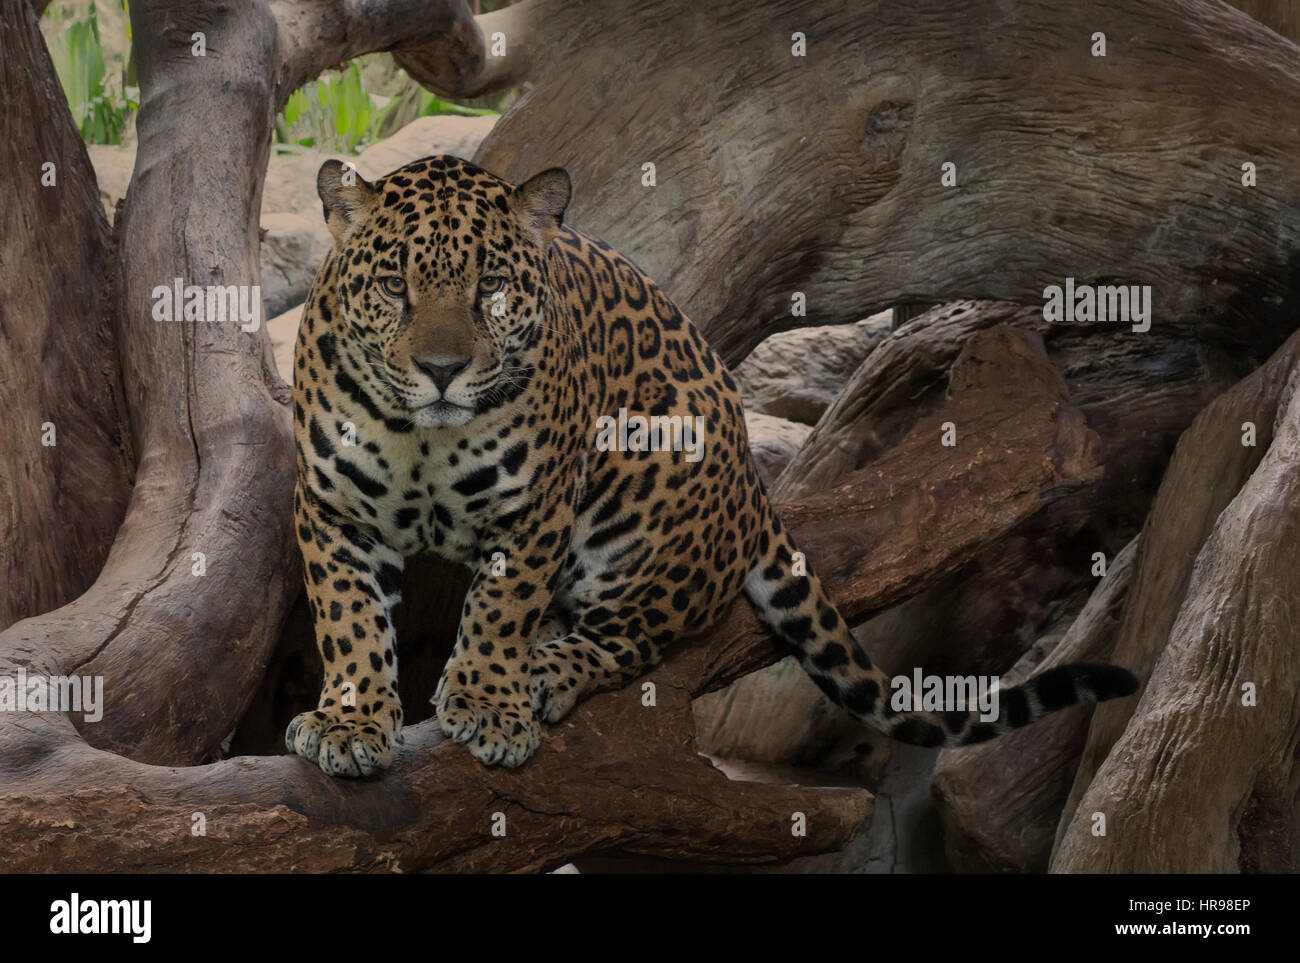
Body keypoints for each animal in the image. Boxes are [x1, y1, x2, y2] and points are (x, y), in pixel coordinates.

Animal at [284, 154, 1138, 777]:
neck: (423, 436)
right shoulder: (331, 507)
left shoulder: (535, 510)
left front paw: (490, 703)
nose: (441, 370)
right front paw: (351, 720)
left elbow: (501, 609)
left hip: (650, 482)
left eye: (490, 285)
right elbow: (349, 618)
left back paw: (544, 668)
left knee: (632, 634)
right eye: (392, 283)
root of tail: (757, 495)